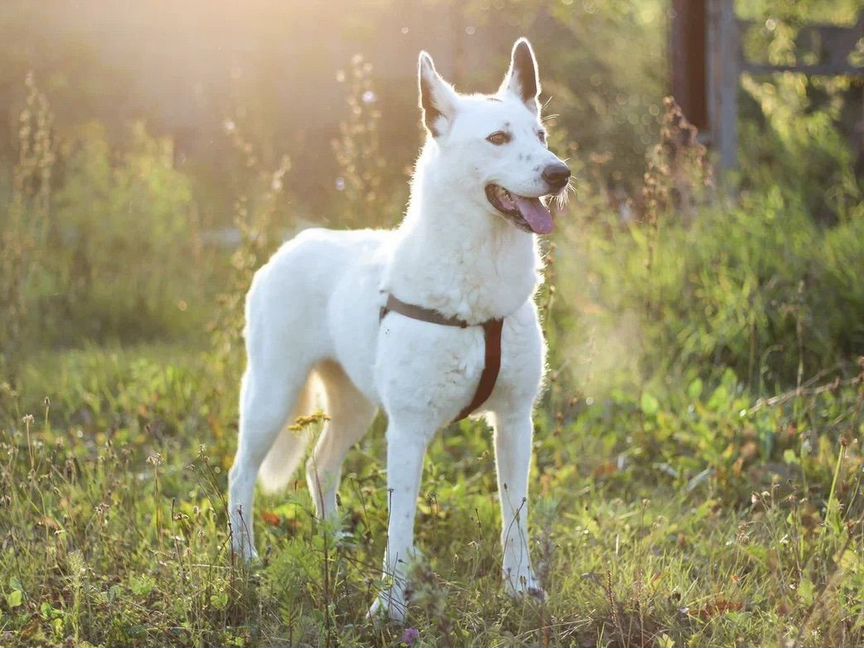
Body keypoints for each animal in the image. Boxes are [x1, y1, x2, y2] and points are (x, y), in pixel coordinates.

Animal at [226, 36, 572, 624]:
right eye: (498, 138)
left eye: (541, 136)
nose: (560, 173)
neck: (474, 286)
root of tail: (291, 245)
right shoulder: (408, 431)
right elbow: (400, 530)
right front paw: (389, 606)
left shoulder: (514, 422)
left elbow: (515, 519)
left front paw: (521, 588)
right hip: (273, 394)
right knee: (241, 475)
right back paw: (245, 559)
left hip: (355, 406)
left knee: (320, 466)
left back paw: (334, 543)